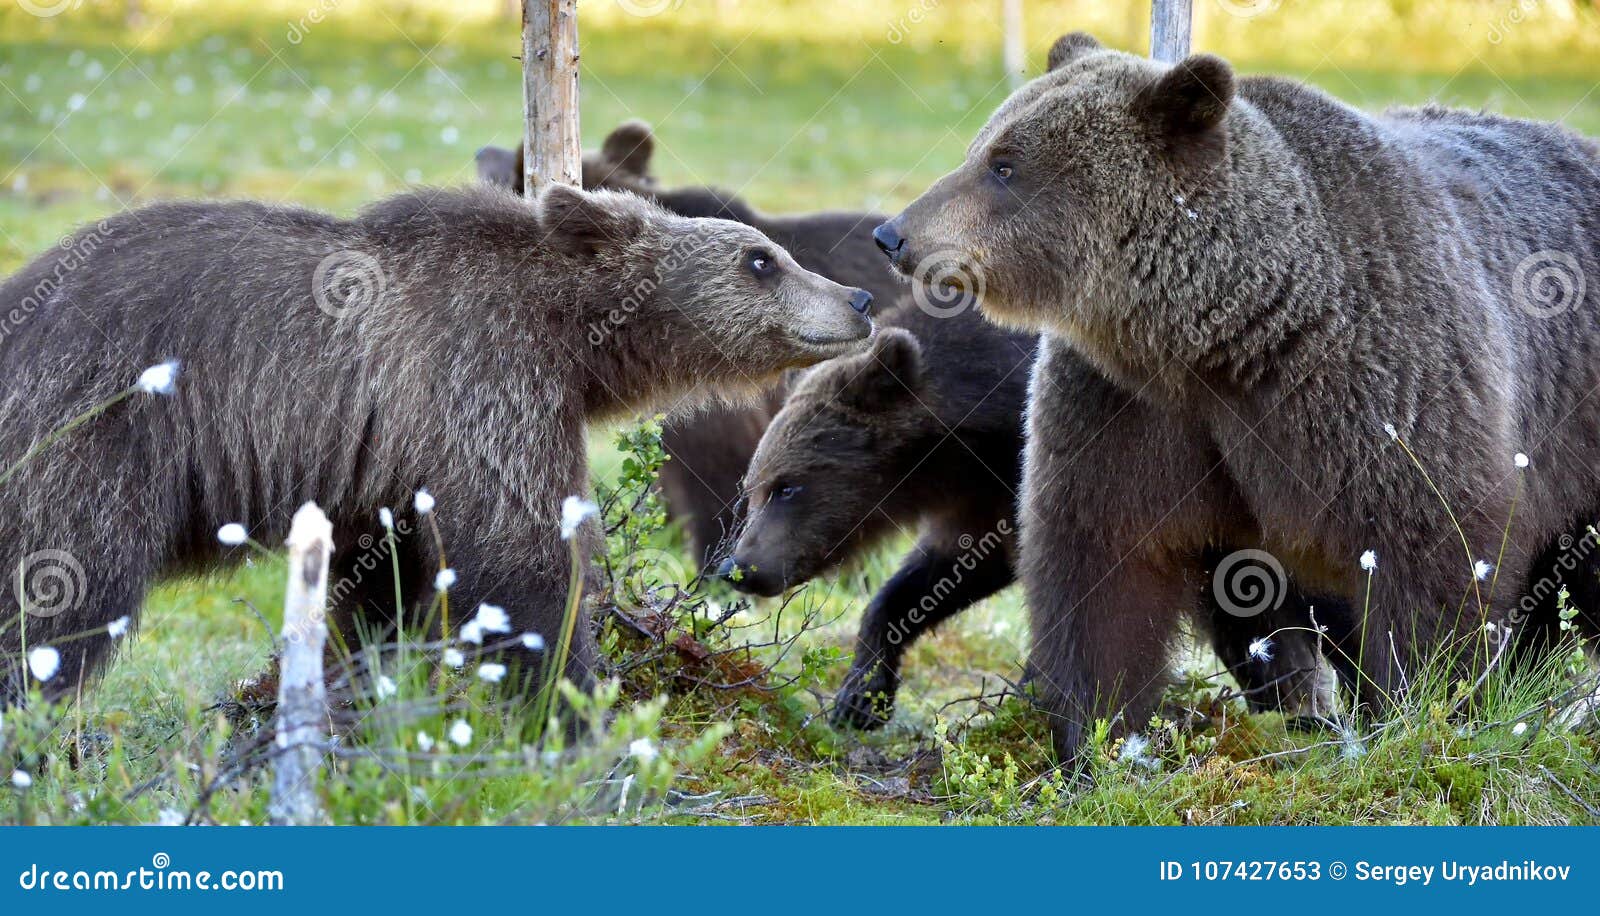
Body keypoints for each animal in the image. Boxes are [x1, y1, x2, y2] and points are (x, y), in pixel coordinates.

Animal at [0, 181, 875, 704]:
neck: (570, 336)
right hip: (92, 434)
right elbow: (525, 554)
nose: (859, 299)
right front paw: (569, 699)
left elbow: (383, 577)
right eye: (759, 259)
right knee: (59, 594)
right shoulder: (481, 381)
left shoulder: (382, 459)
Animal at [722, 304, 1339, 730]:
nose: (740, 566)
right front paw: (861, 698)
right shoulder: (984, 501)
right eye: (751, 490)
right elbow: (934, 579)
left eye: (788, 486)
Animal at [874, 31, 1600, 763]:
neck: (1225, 337)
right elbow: (1102, 560)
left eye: (1004, 165)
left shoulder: (1379, 383)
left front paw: (1427, 710)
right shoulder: (1131, 408)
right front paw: (1097, 738)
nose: (894, 234)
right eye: (983, 147)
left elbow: (1431, 549)